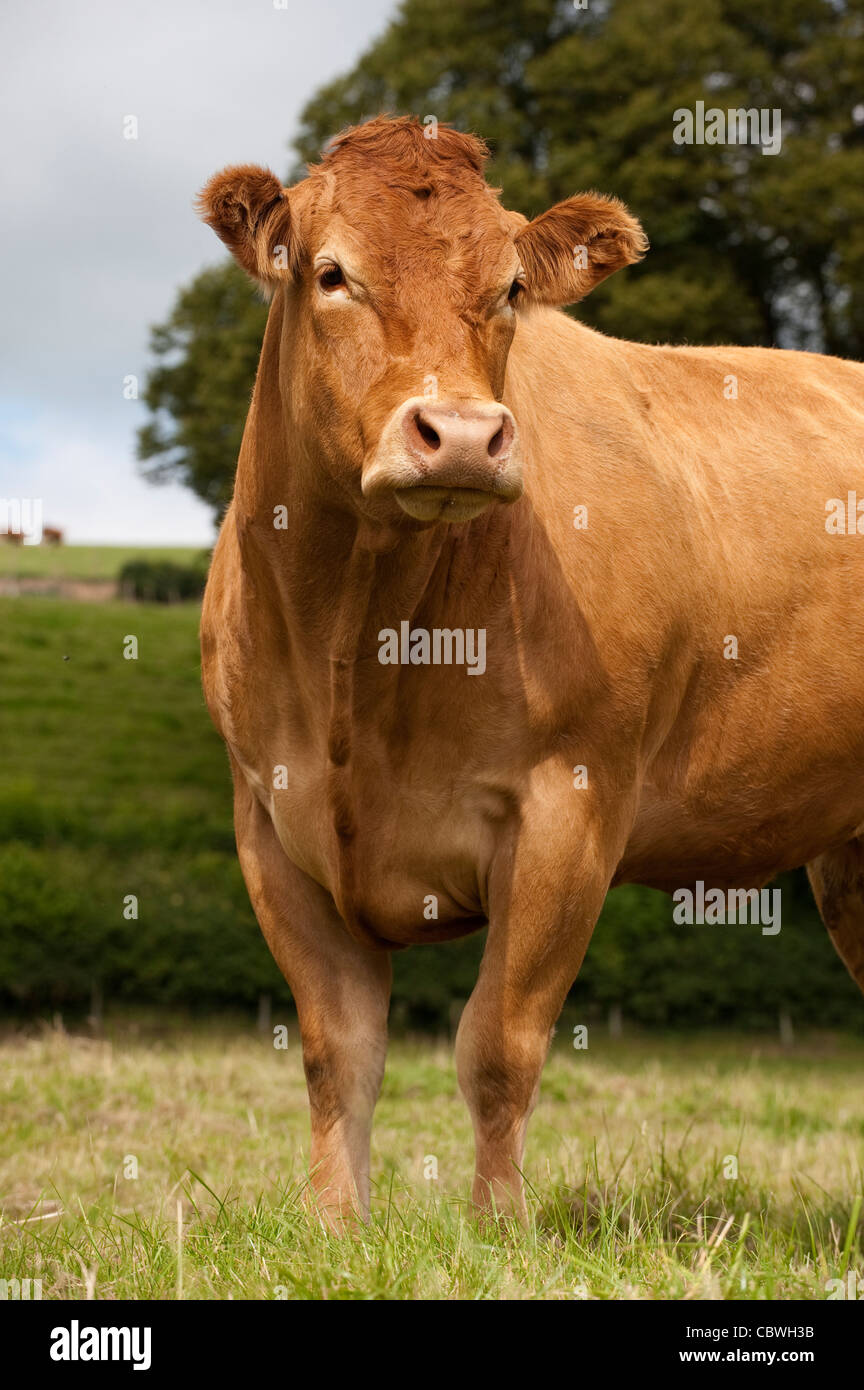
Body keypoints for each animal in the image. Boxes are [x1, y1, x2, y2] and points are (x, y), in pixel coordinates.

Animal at [198, 115, 864, 1229]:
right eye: (331, 273)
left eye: (510, 287)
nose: (464, 436)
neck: (361, 644)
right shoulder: (271, 821)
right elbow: (339, 1053)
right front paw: (335, 1225)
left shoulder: (569, 804)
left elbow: (497, 1046)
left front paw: (498, 1229)